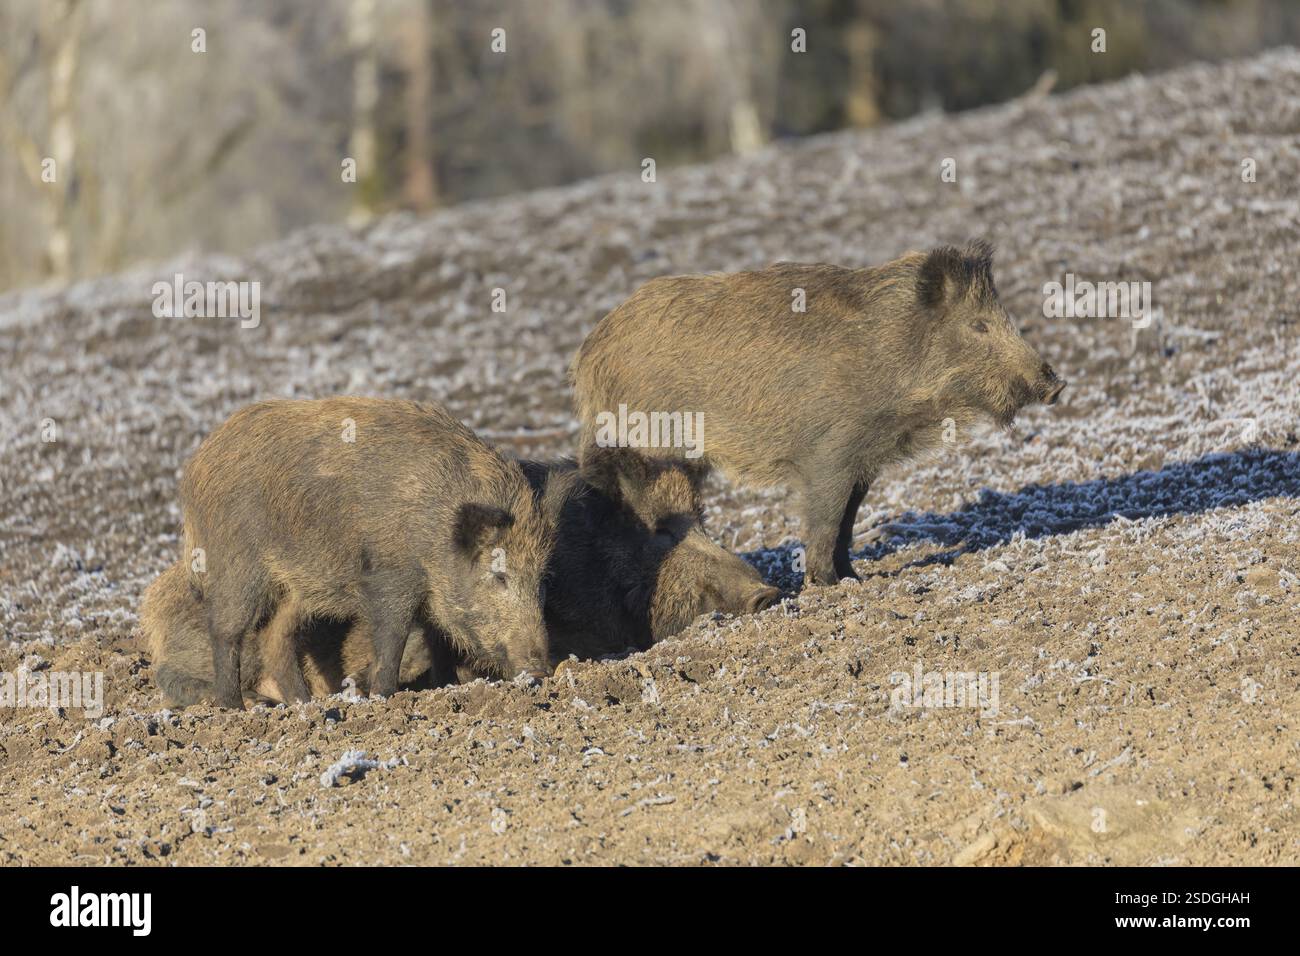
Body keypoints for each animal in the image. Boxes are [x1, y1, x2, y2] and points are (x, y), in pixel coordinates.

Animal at [170, 397, 567, 708]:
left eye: (543, 581)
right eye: (499, 575)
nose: (542, 670)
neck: (436, 529)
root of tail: (197, 465)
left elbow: (438, 640)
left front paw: (449, 686)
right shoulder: (392, 576)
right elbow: (393, 635)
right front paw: (384, 697)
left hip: (297, 589)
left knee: (276, 638)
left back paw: (306, 704)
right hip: (235, 565)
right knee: (225, 630)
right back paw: (234, 708)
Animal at [571, 241, 1065, 586]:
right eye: (979, 325)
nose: (1056, 384)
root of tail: (588, 353)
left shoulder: (865, 462)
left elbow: (847, 523)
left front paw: (853, 577)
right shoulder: (830, 454)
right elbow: (826, 520)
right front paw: (827, 584)